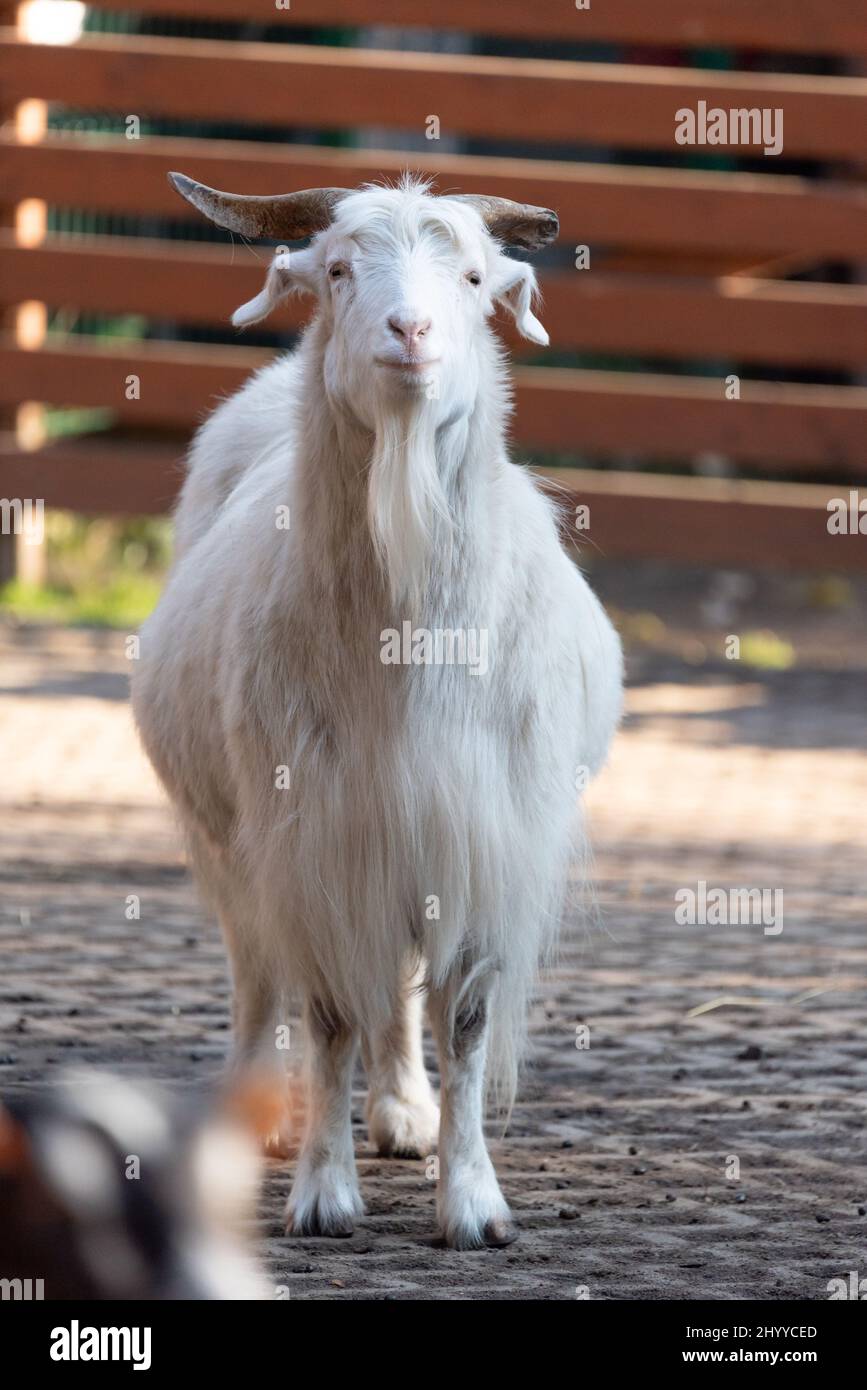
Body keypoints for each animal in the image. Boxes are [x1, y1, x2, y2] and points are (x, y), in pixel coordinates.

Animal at [131, 174, 622, 1249]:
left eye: (473, 276)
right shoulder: (312, 837)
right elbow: (324, 1012)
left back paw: (404, 1110)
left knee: (394, 989)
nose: (410, 330)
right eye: (339, 269)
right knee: (256, 973)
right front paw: (323, 1192)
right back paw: (260, 1112)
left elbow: (461, 1018)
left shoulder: (477, 840)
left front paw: (471, 1201)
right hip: (227, 842)